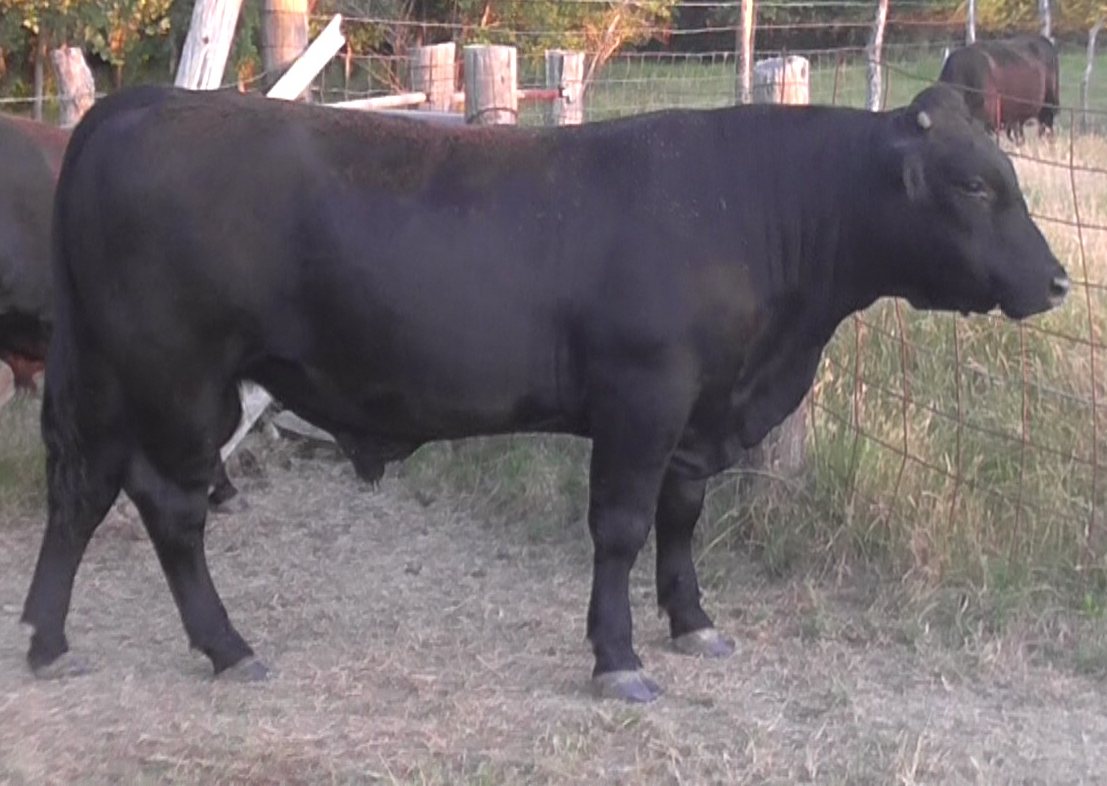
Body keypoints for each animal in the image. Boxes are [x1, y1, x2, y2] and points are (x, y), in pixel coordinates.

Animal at [21, 83, 1068, 701]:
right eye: (974, 187)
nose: (1058, 281)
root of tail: (149, 101)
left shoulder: (698, 411)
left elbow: (680, 516)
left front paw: (692, 623)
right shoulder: (643, 395)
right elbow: (620, 526)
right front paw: (618, 660)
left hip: (113, 377)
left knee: (81, 489)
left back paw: (46, 635)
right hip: (178, 376)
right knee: (168, 506)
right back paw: (226, 646)